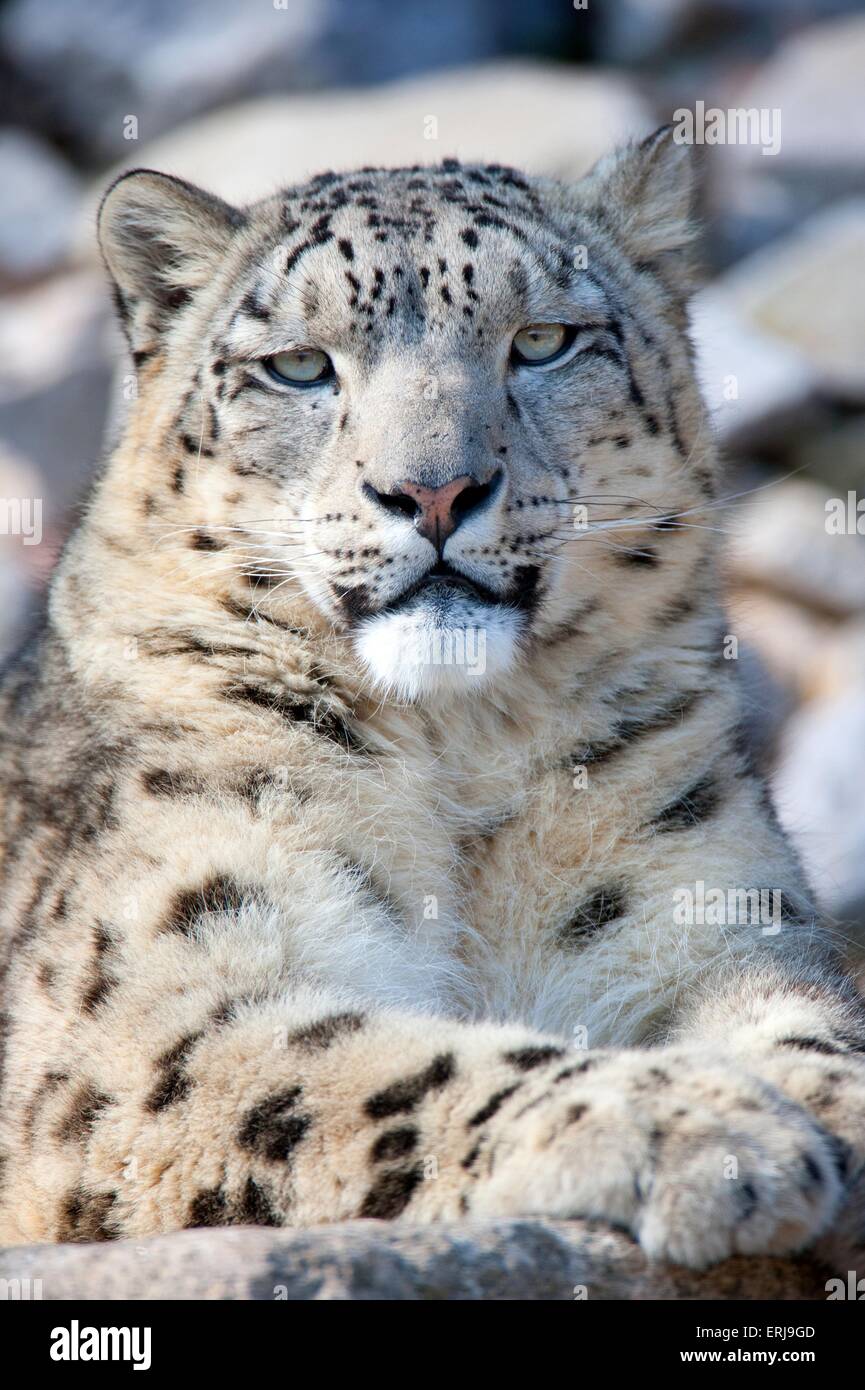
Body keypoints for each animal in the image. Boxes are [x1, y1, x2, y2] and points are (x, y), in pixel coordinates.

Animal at [1, 126, 864, 1274]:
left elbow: (811, 1020)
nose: (434, 492)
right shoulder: (138, 1019)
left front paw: (818, 1108)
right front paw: (694, 1123)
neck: (460, 753)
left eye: (542, 341)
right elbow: (363, 1069)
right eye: (299, 365)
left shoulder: (715, 917)